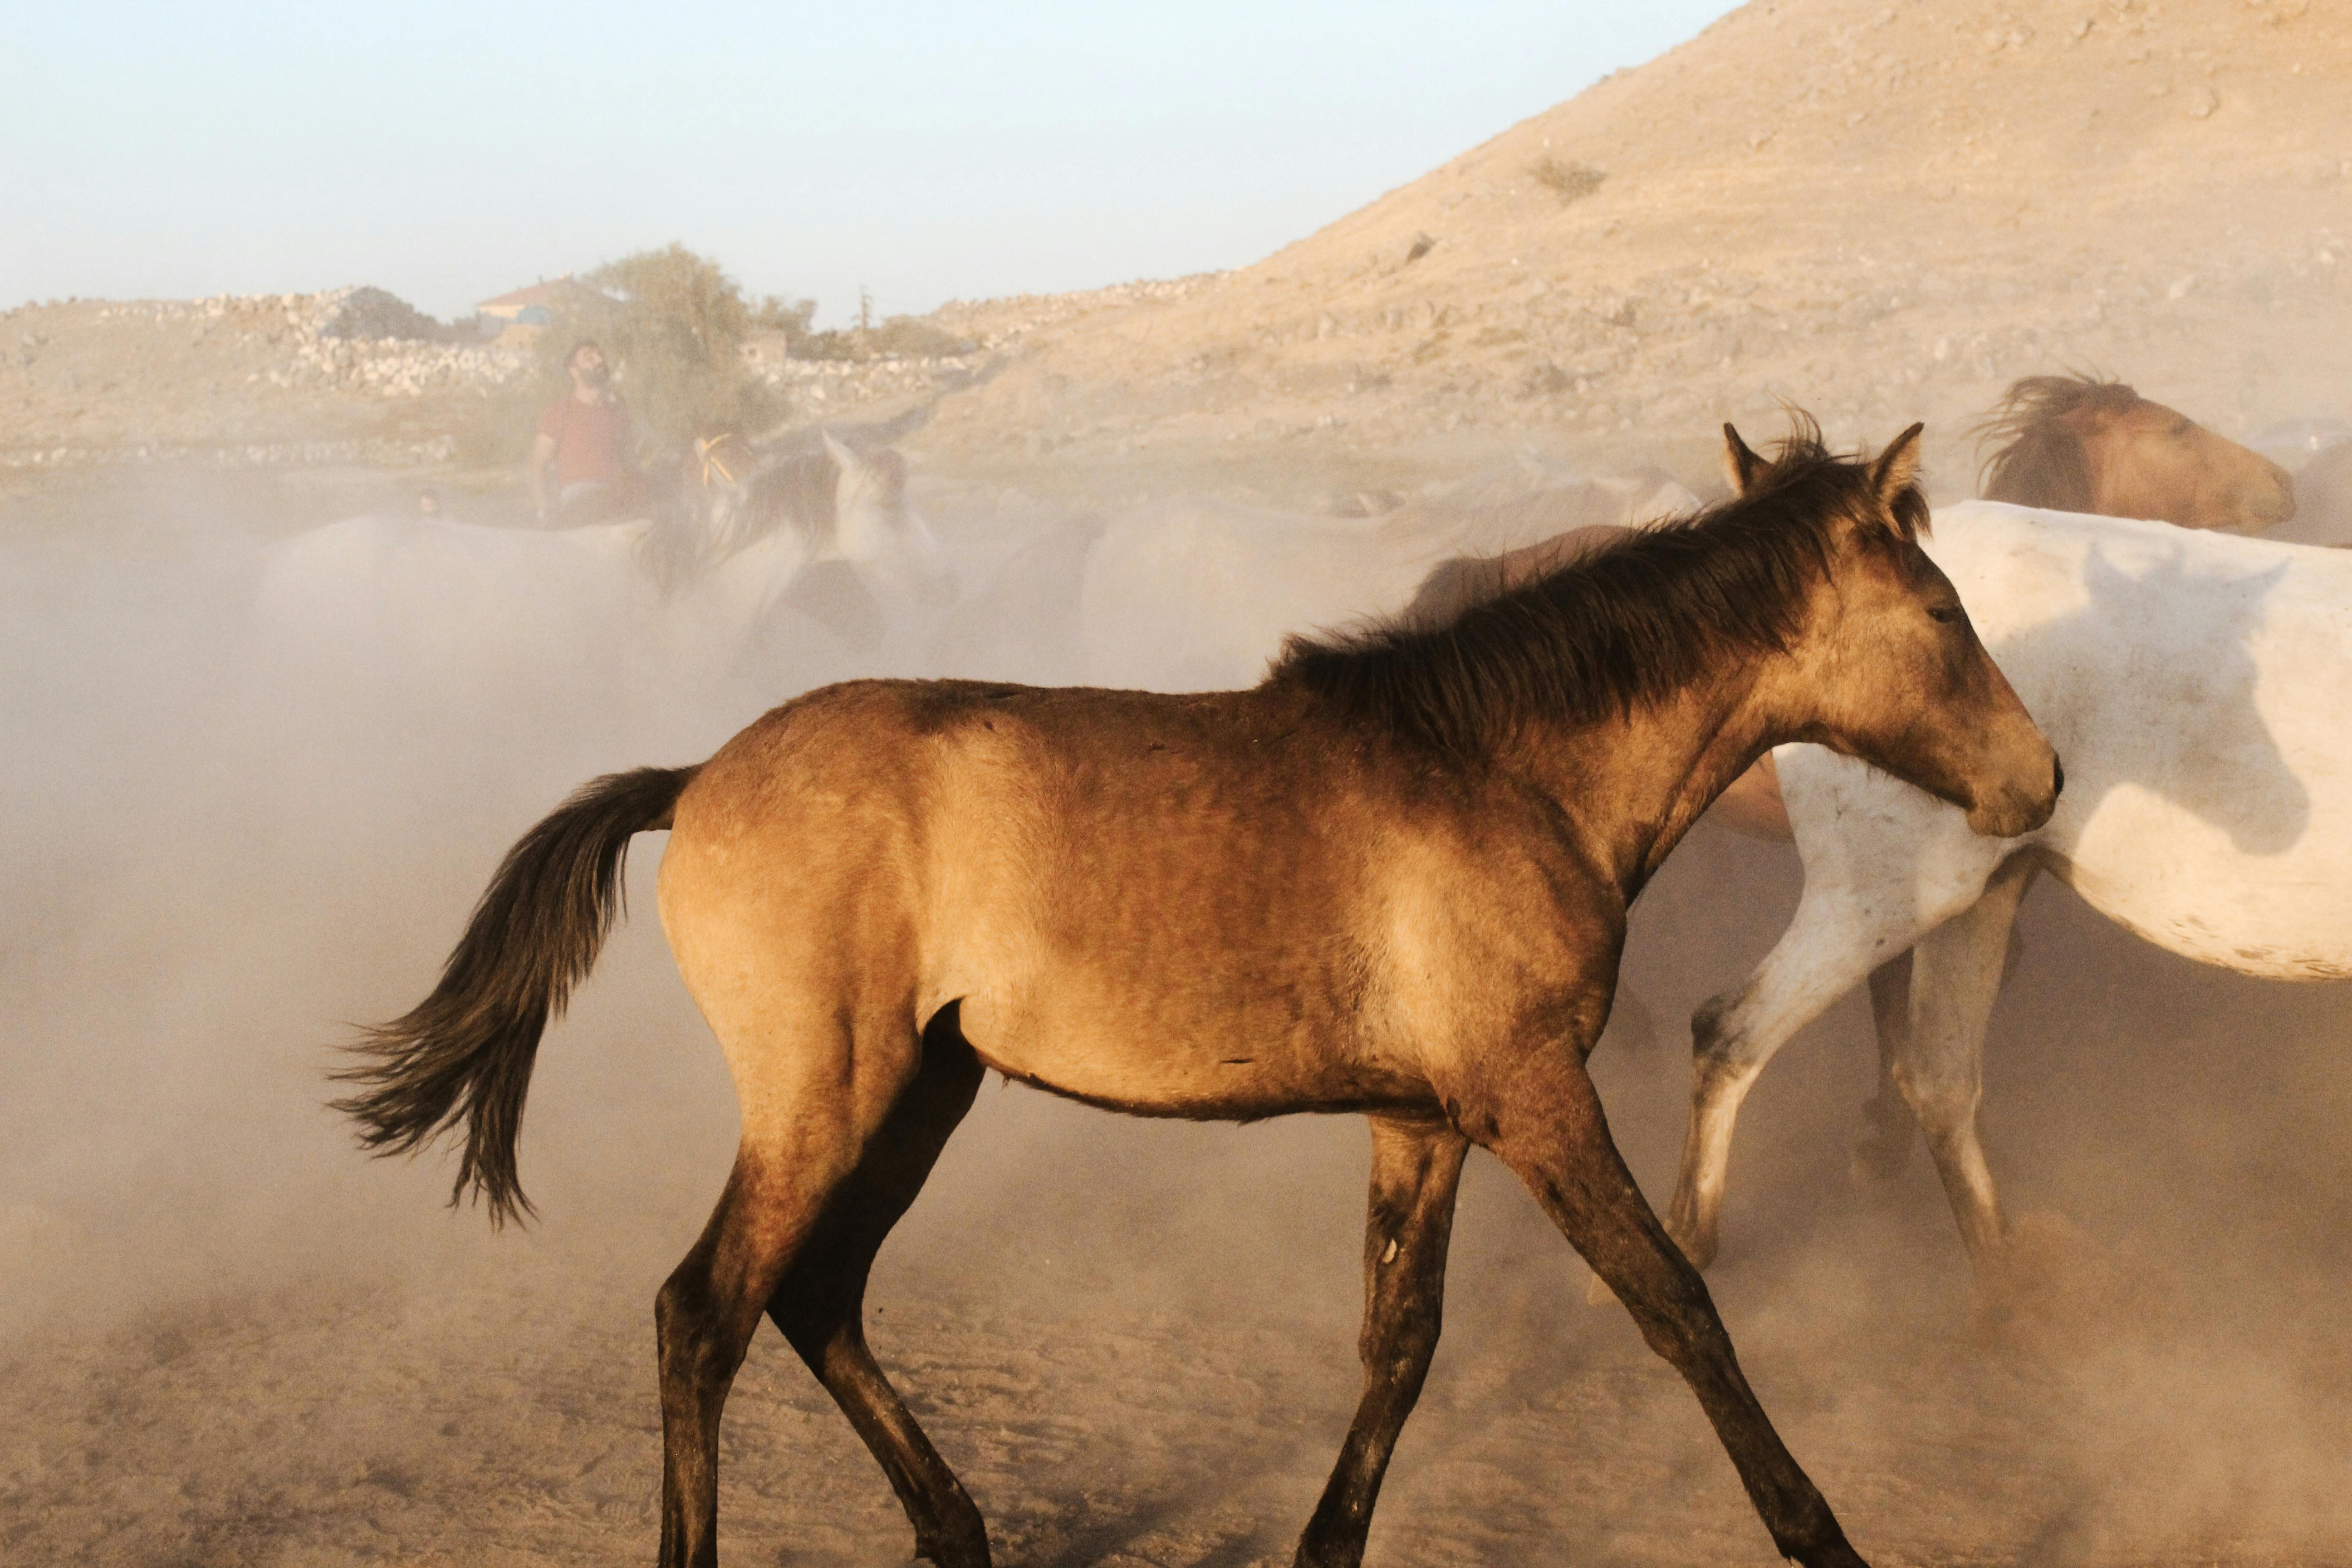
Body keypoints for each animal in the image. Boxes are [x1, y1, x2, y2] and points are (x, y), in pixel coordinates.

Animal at [332, 422, 2059, 1568]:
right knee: (706, 1312)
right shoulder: (1531, 1097)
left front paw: (1323, 1547)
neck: (1503, 773)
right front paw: (1819, 1533)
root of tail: (694, 779)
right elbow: (1679, 1307)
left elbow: (1398, 1340)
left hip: (923, 1087)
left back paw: (960, 1533)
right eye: (1945, 614)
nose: (2038, 783)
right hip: (824, 1095)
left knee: (819, 1296)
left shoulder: (1424, 1116)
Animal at [1660, 502, 2352, 1281]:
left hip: (1977, 892)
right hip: (1877, 893)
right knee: (1732, 1034)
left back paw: (2009, 1294)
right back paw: (1688, 1244)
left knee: (1939, 1081)